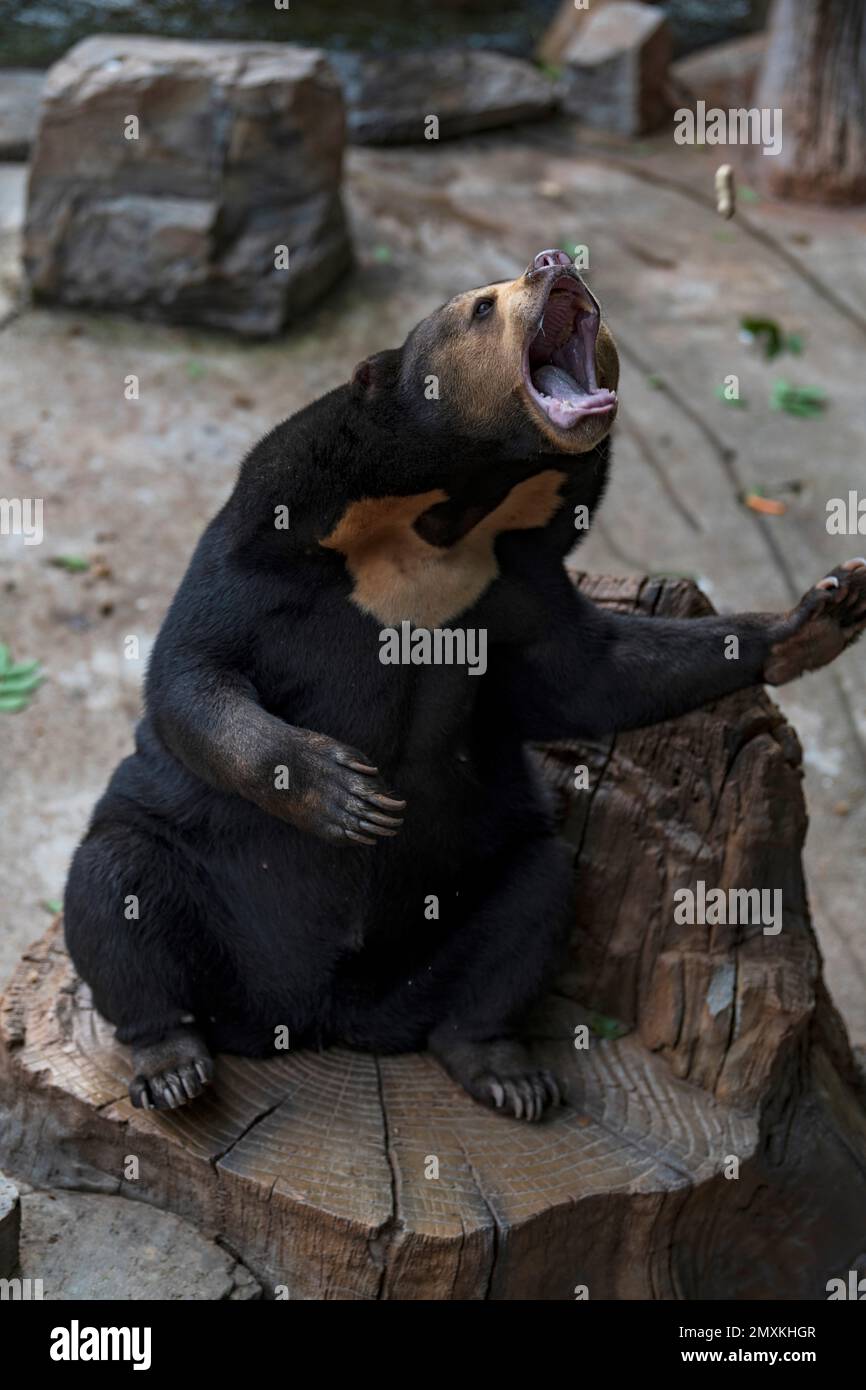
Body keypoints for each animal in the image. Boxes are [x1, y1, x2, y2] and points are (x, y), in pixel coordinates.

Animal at [64, 248, 866, 1122]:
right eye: (482, 307)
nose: (555, 259)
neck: (450, 511)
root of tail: (312, 1015)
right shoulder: (266, 536)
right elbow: (193, 669)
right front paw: (346, 794)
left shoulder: (515, 577)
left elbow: (590, 675)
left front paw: (826, 610)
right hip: (194, 871)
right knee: (115, 886)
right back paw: (171, 1063)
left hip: (460, 895)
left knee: (531, 900)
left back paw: (504, 1071)